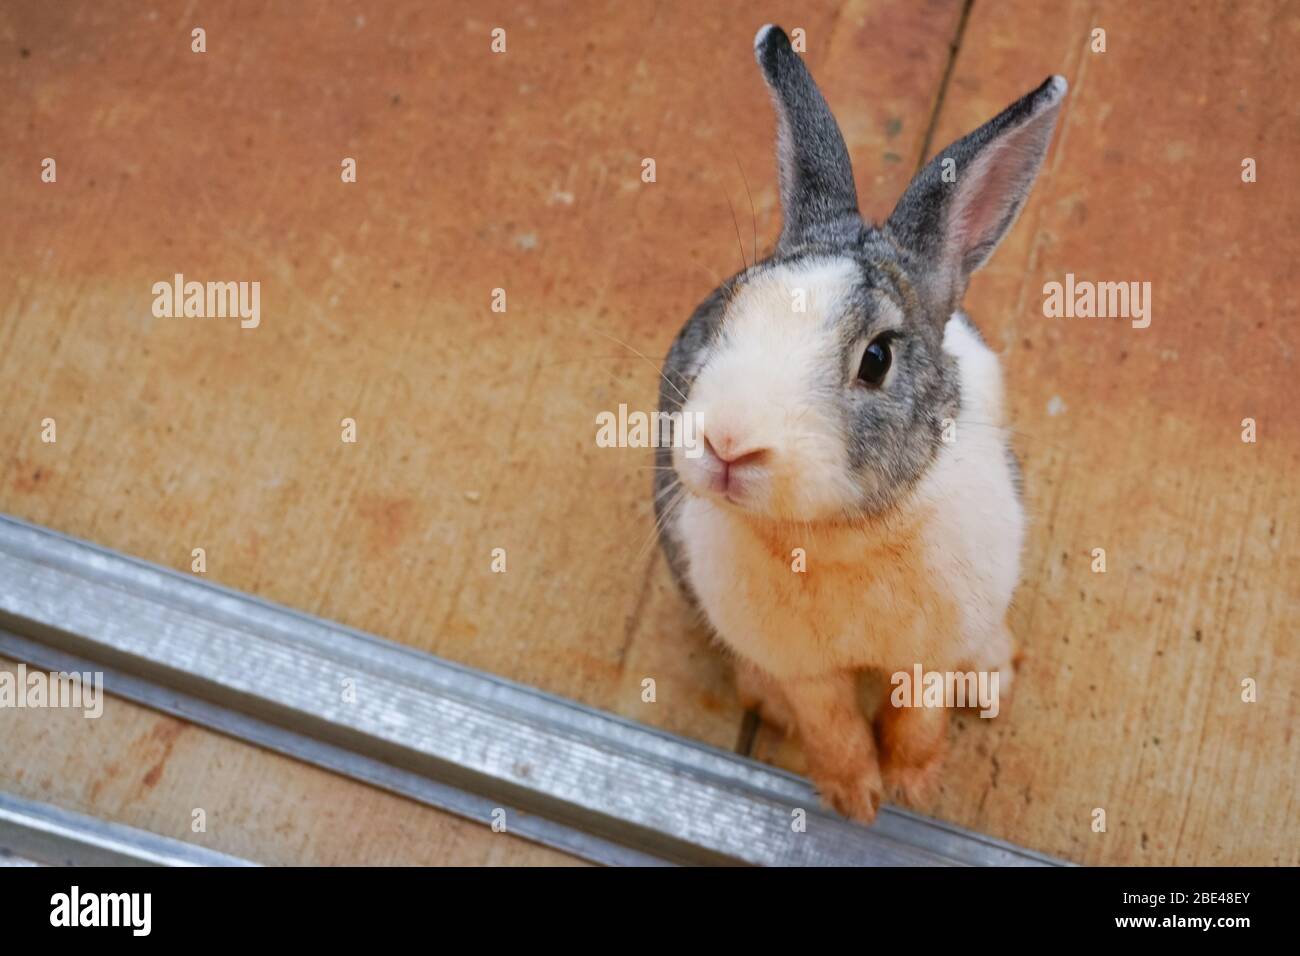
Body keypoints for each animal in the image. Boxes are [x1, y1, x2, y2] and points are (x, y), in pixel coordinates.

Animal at [653, 24, 1065, 824]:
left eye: (876, 359)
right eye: (729, 309)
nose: (728, 443)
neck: (837, 540)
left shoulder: (930, 650)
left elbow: (919, 713)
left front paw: (914, 784)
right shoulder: (803, 668)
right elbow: (832, 726)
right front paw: (857, 802)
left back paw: (992, 673)